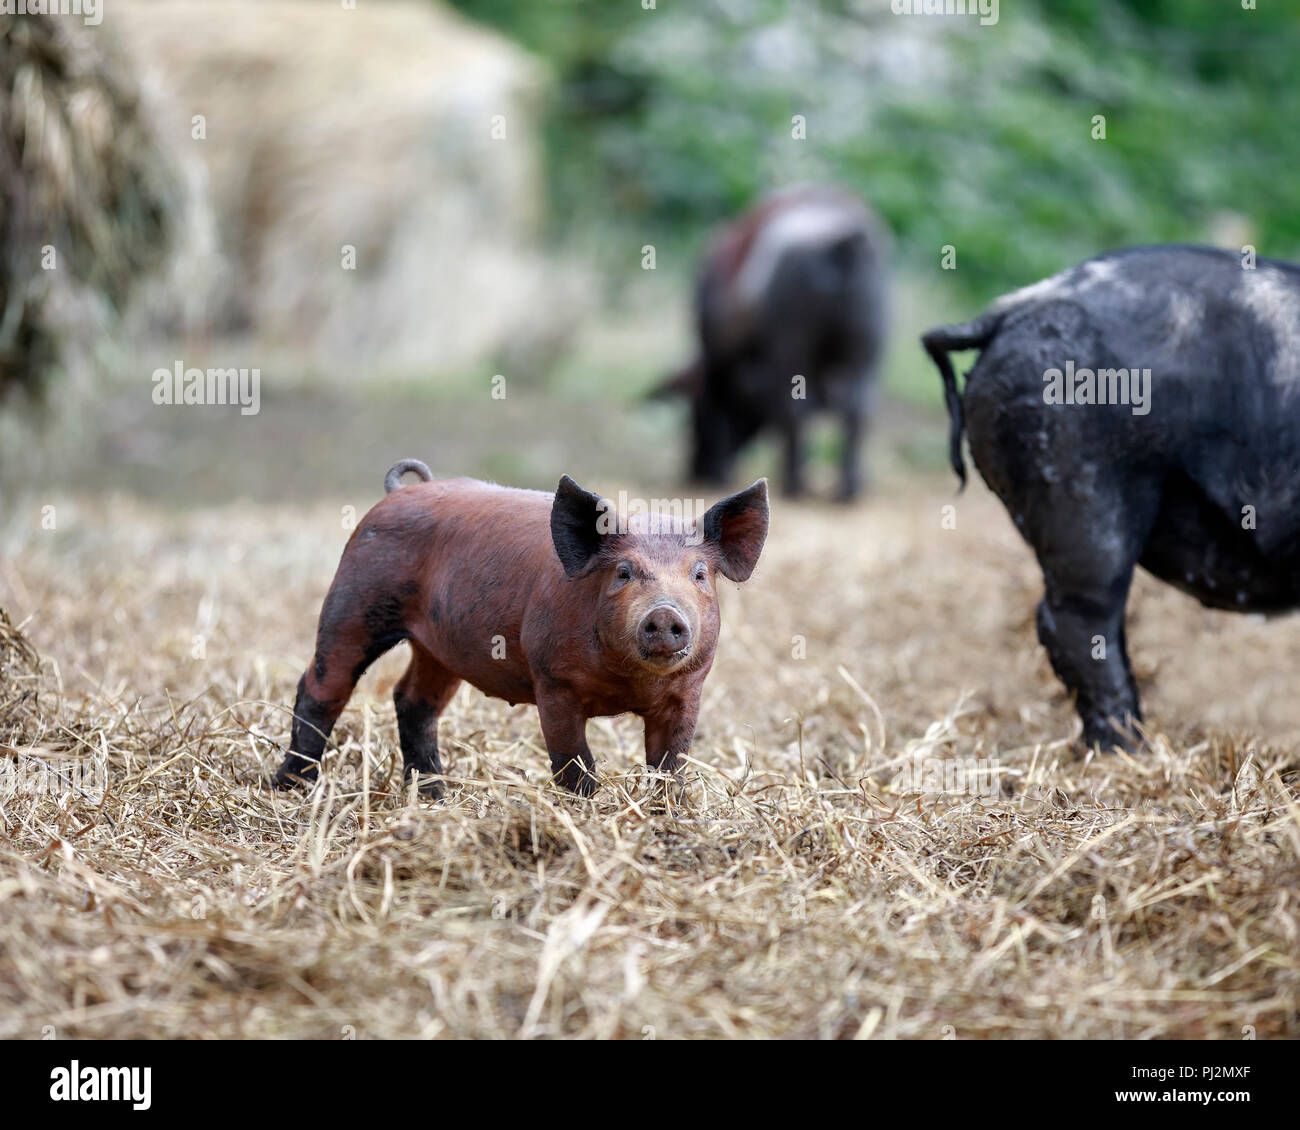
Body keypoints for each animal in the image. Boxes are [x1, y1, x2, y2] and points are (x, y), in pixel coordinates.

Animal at [272, 459, 769, 797]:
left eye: (699, 574)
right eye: (624, 573)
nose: (665, 613)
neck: (629, 686)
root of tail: (401, 492)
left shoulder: (688, 691)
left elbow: (670, 764)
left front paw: (666, 810)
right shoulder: (553, 681)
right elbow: (574, 761)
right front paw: (589, 805)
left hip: (439, 648)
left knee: (411, 699)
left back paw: (435, 795)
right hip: (354, 599)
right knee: (321, 687)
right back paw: (293, 787)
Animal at [656, 185, 888, 501]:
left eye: (693, 412)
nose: (696, 468)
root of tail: (843, 244)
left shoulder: (717, 358)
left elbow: (721, 406)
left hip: (791, 350)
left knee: (796, 411)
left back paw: (793, 483)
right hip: (866, 352)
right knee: (857, 409)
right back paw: (848, 488)